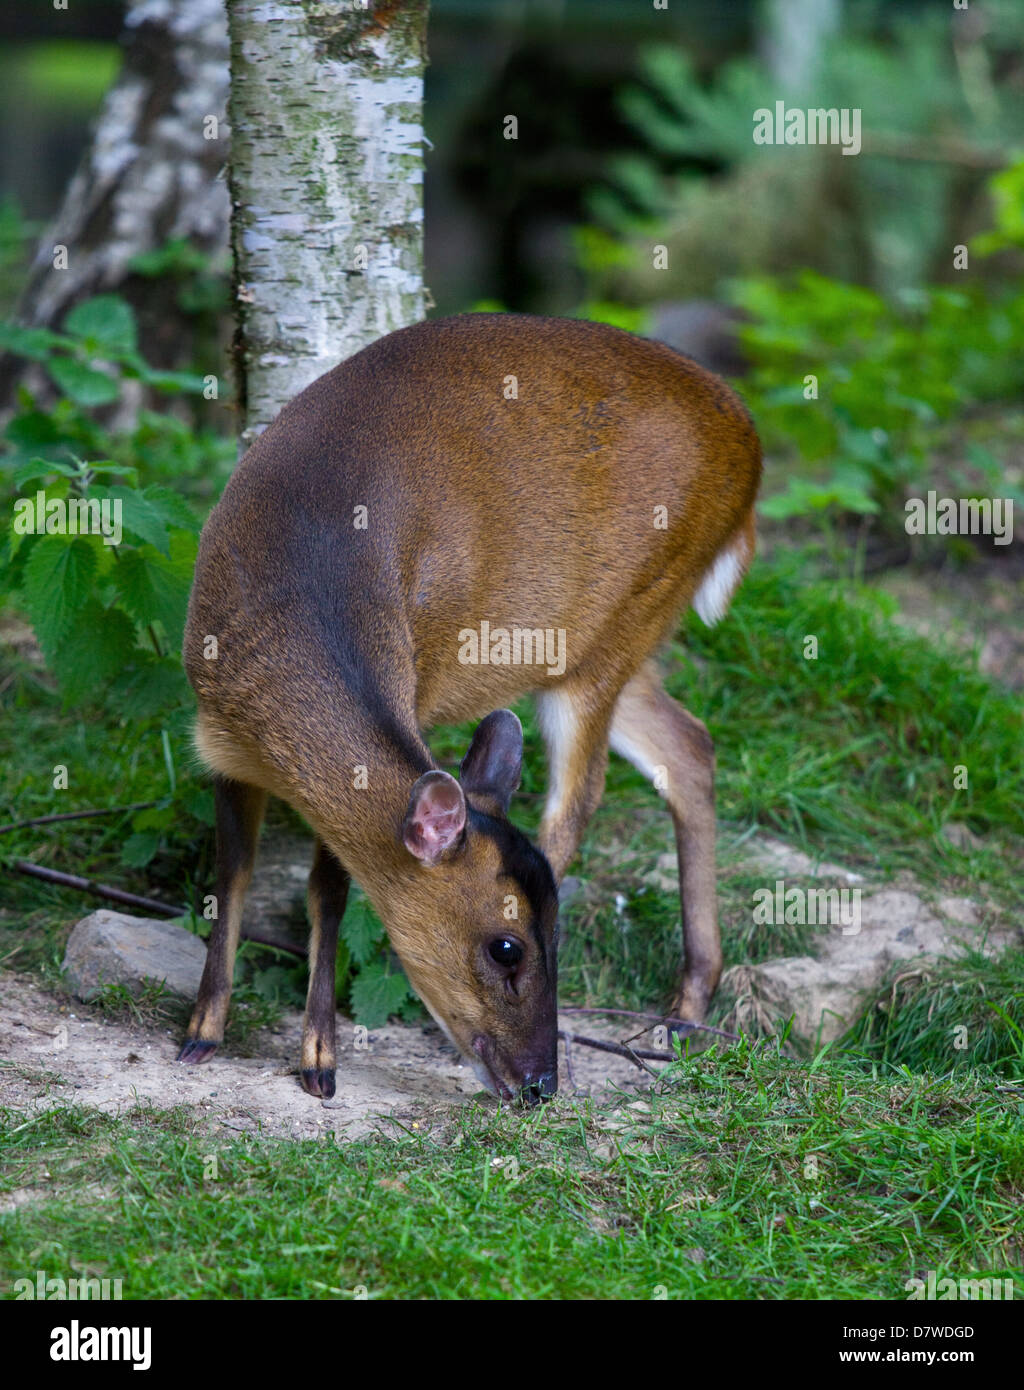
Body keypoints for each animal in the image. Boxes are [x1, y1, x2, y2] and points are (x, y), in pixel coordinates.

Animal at [177, 313, 761, 1104]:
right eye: (507, 947)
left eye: (548, 937)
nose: (542, 1083)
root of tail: (752, 449)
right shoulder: (219, 742)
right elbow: (231, 877)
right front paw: (201, 1032)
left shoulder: (414, 691)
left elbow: (327, 888)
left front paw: (319, 1058)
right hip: (599, 641)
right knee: (690, 744)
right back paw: (687, 1011)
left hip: (623, 620)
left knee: (582, 799)